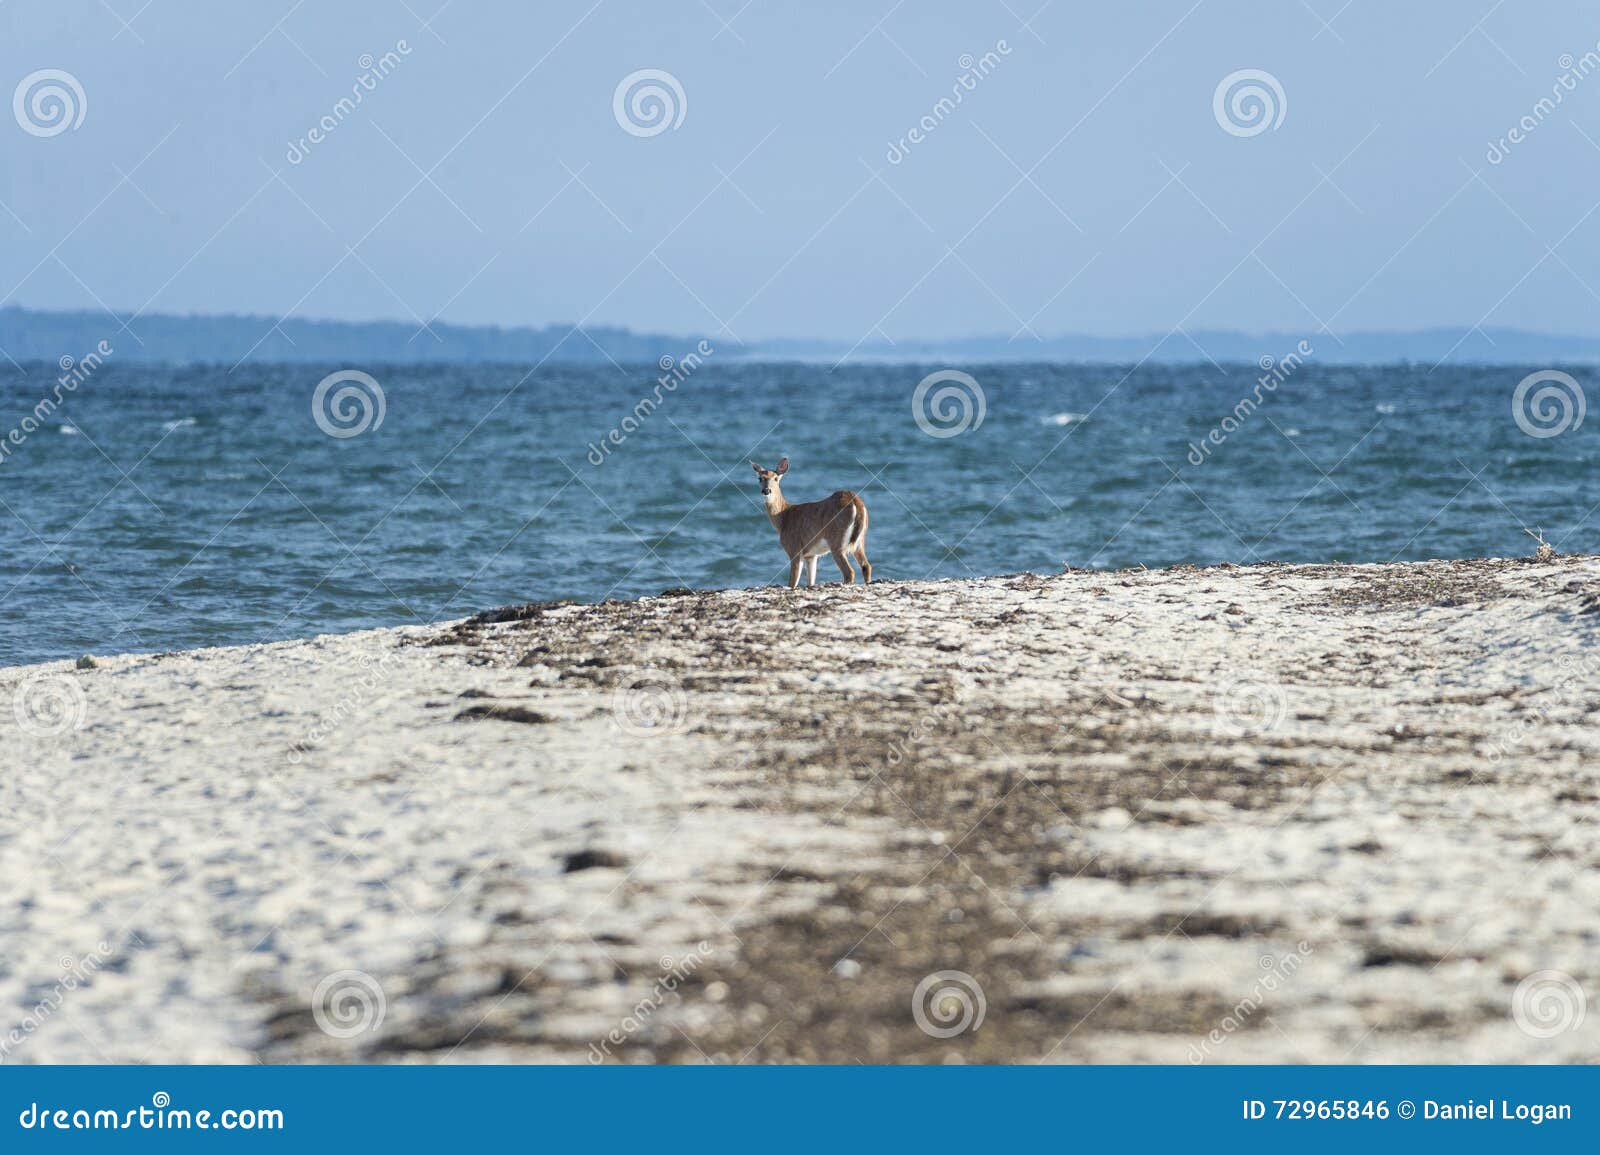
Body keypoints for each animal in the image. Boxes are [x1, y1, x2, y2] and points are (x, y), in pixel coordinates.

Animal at [749, 457, 872, 588]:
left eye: (776, 478)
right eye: (760, 478)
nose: (766, 490)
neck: (783, 518)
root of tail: (855, 501)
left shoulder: (794, 549)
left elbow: (792, 582)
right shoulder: (811, 555)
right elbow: (810, 581)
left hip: (837, 541)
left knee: (850, 571)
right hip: (860, 540)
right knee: (866, 566)